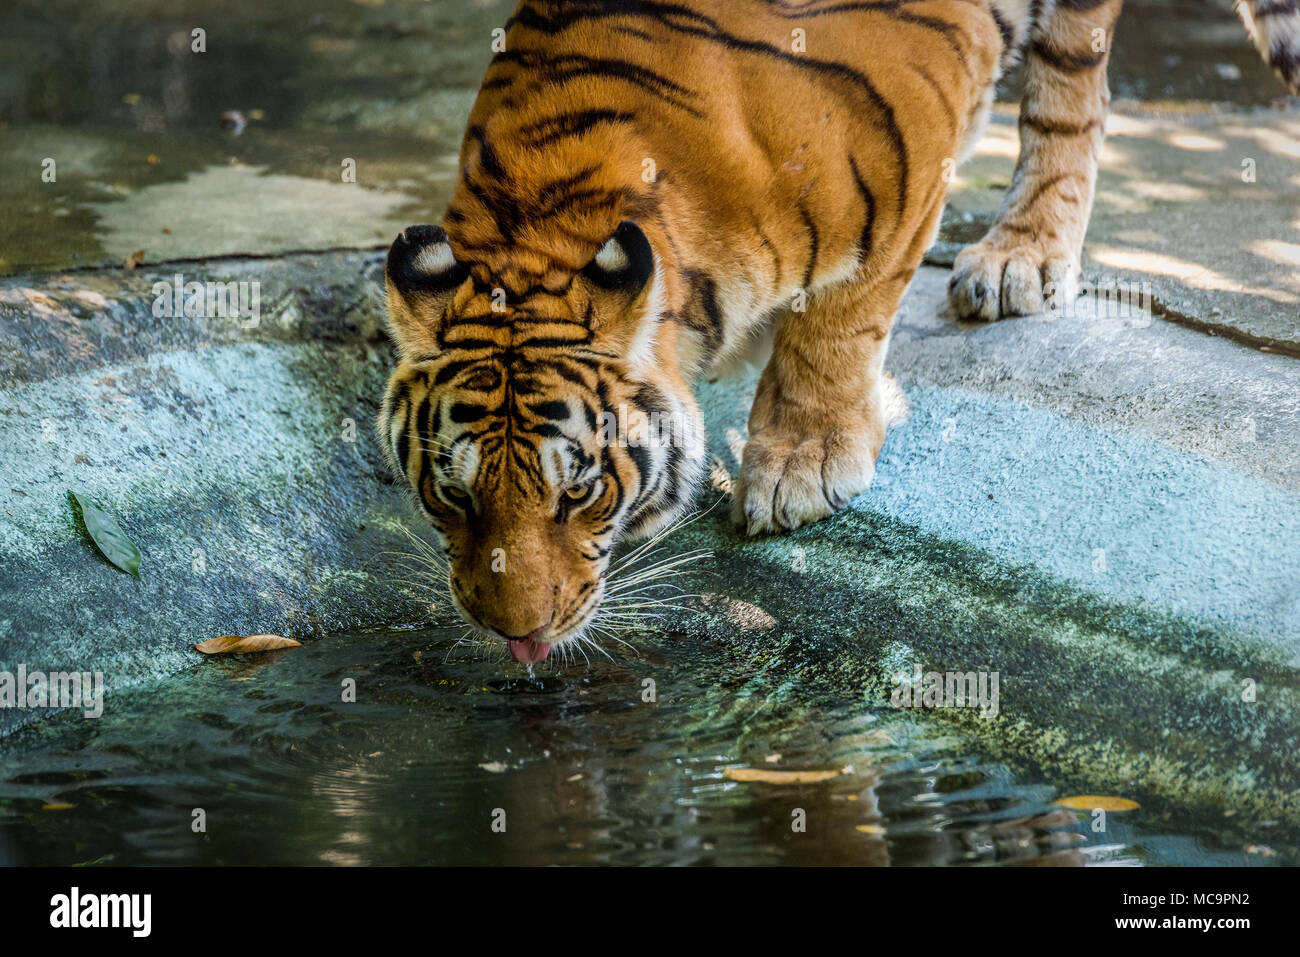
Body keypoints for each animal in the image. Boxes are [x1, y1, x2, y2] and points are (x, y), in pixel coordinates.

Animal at [378, 0, 1300, 664]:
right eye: (452, 495)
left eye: (579, 493)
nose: (517, 635)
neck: (542, 213)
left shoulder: (905, 160)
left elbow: (843, 318)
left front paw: (801, 465)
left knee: (1071, 96)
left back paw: (1020, 254)